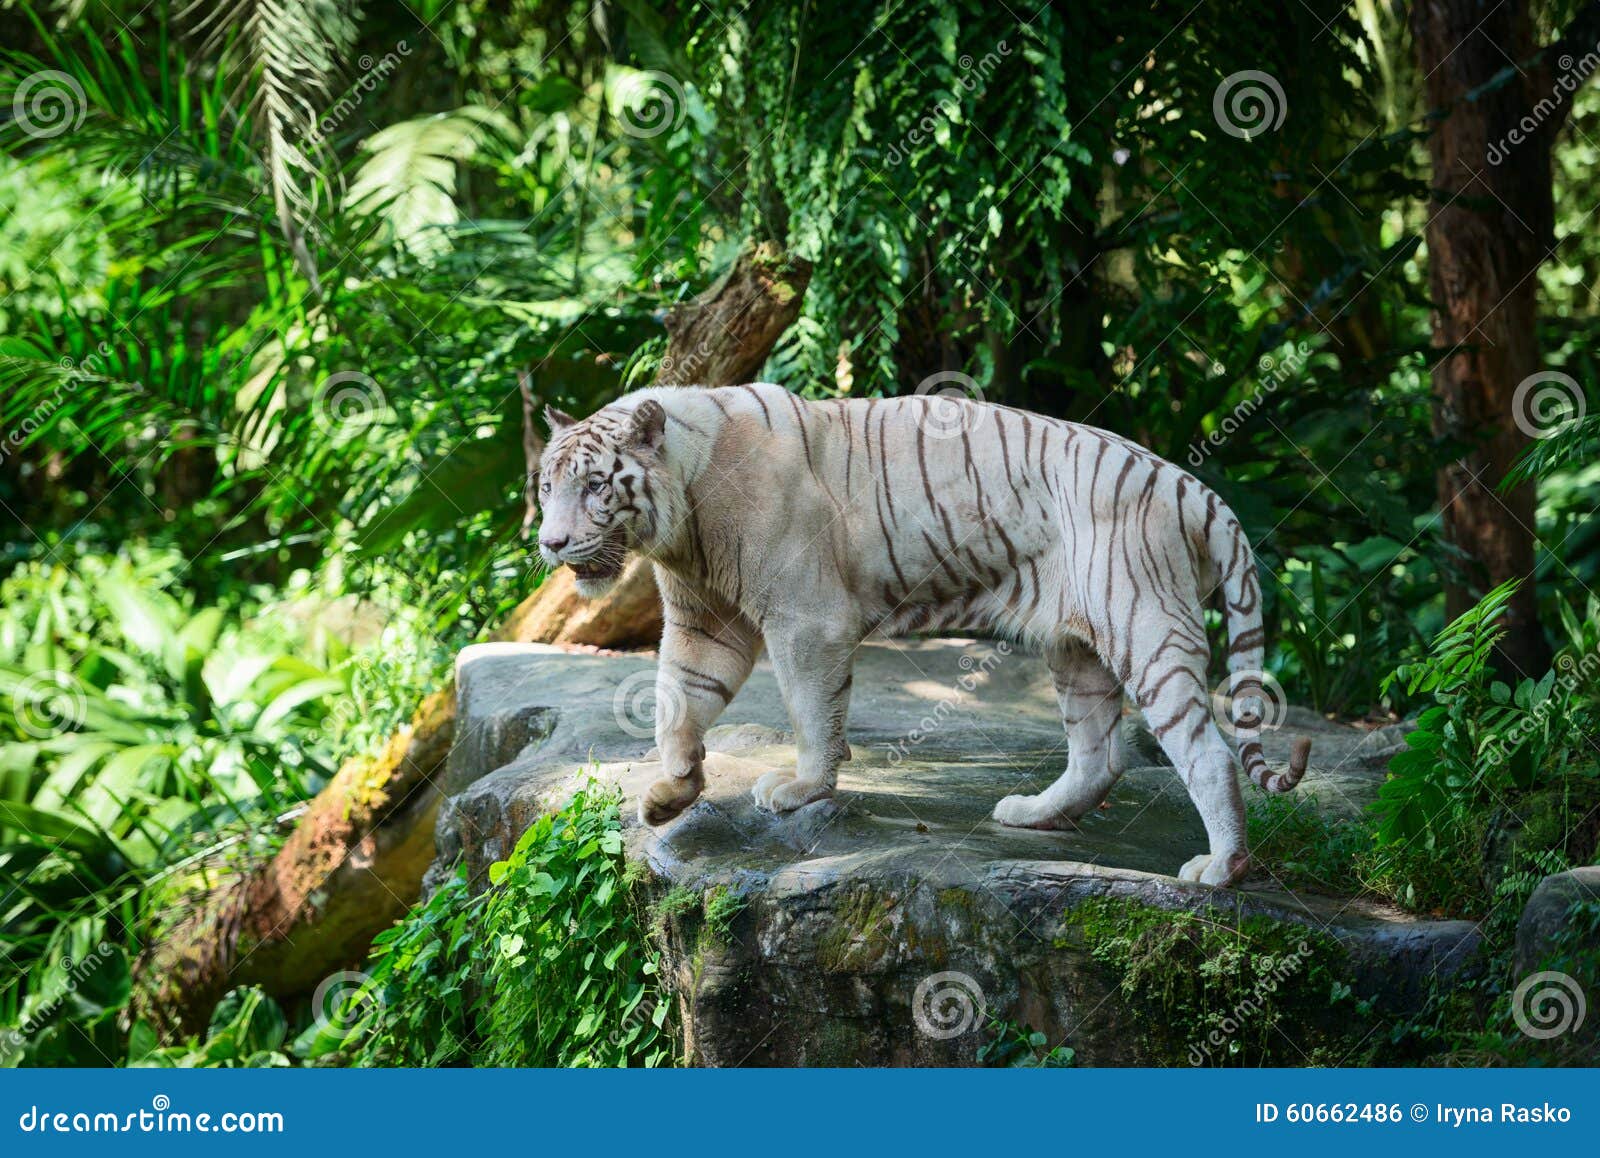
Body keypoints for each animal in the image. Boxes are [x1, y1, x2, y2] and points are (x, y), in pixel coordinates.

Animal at [534, 383, 1309, 886]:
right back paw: (1032, 814)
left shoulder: (804, 619)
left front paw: (802, 788)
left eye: (597, 485)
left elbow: (810, 710)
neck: (685, 512)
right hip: (1075, 644)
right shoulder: (705, 621)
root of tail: (1192, 487)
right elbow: (676, 700)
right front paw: (671, 791)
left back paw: (1220, 868)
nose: (550, 543)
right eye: (545, 486)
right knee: (1100, 754)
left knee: (1207, 752)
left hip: (1142, 623)